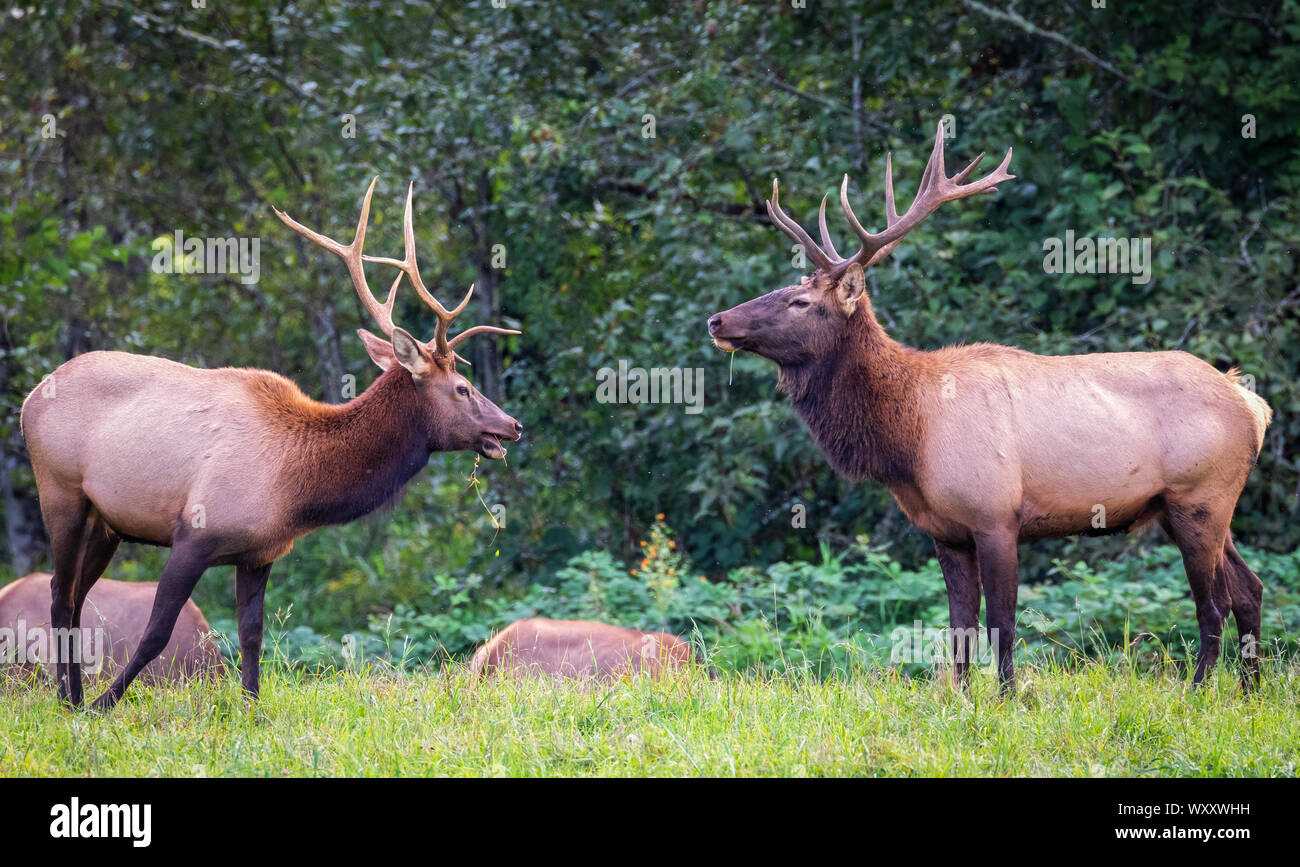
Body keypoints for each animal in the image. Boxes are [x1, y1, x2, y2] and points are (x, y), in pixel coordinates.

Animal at [20, 178, 523, 711]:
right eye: (463, 388)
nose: (513, 426)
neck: (296, 489)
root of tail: (29, 400)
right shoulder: (193, 534)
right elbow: (156, 632)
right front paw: (106, 703)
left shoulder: (260, 552)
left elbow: (251, 635)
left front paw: (252, 709)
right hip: (60, 493)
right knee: (59, 594)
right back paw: (69, 700)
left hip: (108, 522)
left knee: (76, 597)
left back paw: (72, 695)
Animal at [707, 124, 1273, 694]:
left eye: (800, 302)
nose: (717, 320)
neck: (909, 440)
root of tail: (1252, 404)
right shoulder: (945, 531)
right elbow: (960, 625)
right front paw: (956, 696)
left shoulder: (996, 513)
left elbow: (1002, 621)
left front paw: (1005, 697)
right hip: (1200, 505)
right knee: (1249, 588)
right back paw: (1248, 691)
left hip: (1199, 493)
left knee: (1213, 603)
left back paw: (1199, 690)